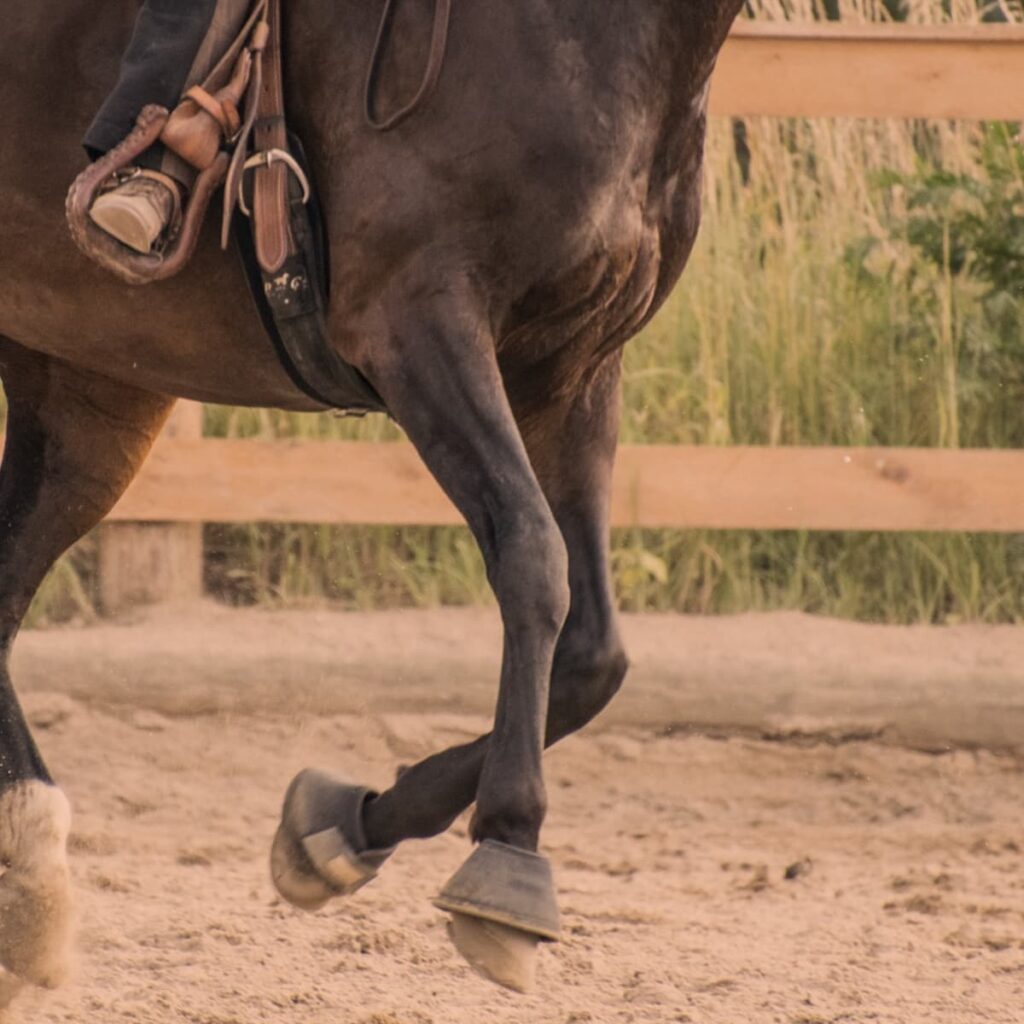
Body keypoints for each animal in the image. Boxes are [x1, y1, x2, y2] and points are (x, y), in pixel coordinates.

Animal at [0, 0, 743, 1000]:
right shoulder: (419, 324)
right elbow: (532, 560)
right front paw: (508, 857)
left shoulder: (573, 373)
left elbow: (594, 651)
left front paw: (340, 828)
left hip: (89, 390)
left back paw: (31, 885)